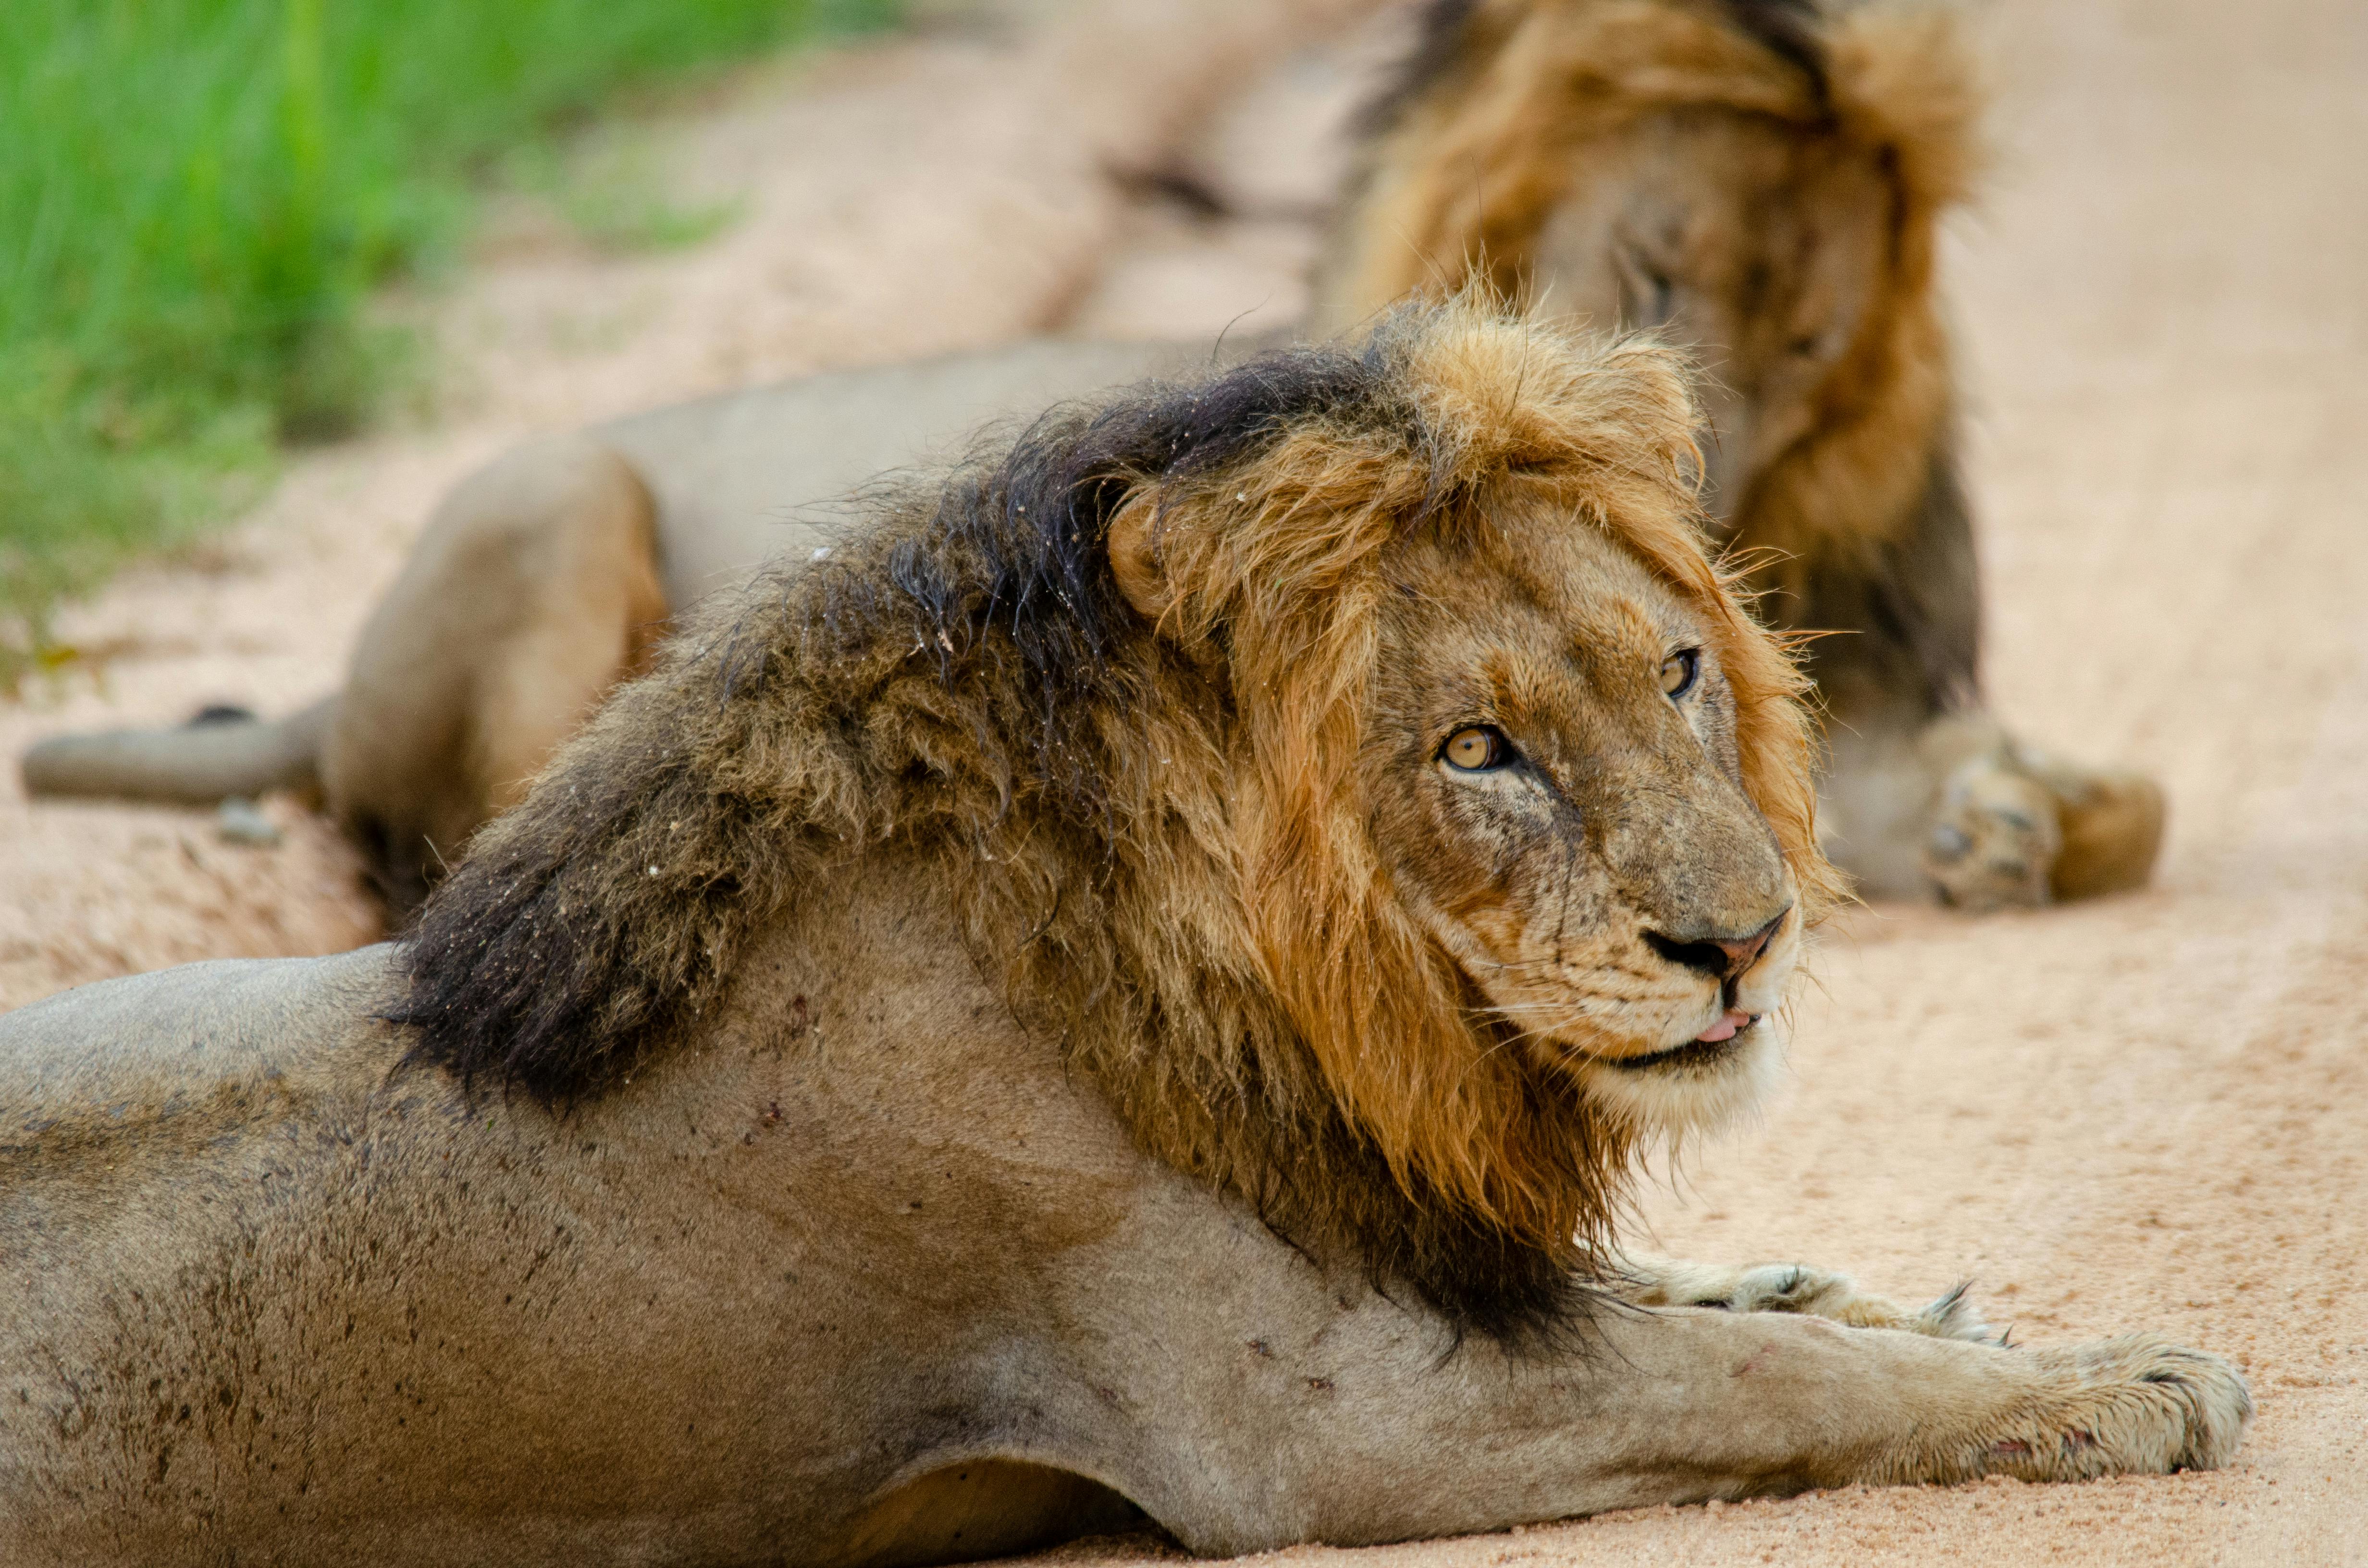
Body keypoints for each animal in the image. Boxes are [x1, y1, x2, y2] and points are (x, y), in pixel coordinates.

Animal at [0, 301, 2245, 1565]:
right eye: (1481, 750)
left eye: (1680, 671)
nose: (1750, 937)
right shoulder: (1334, 1423)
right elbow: (1772, 1383)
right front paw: (2126, 1377)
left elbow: (1728, 1310)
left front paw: (1896, 1297)